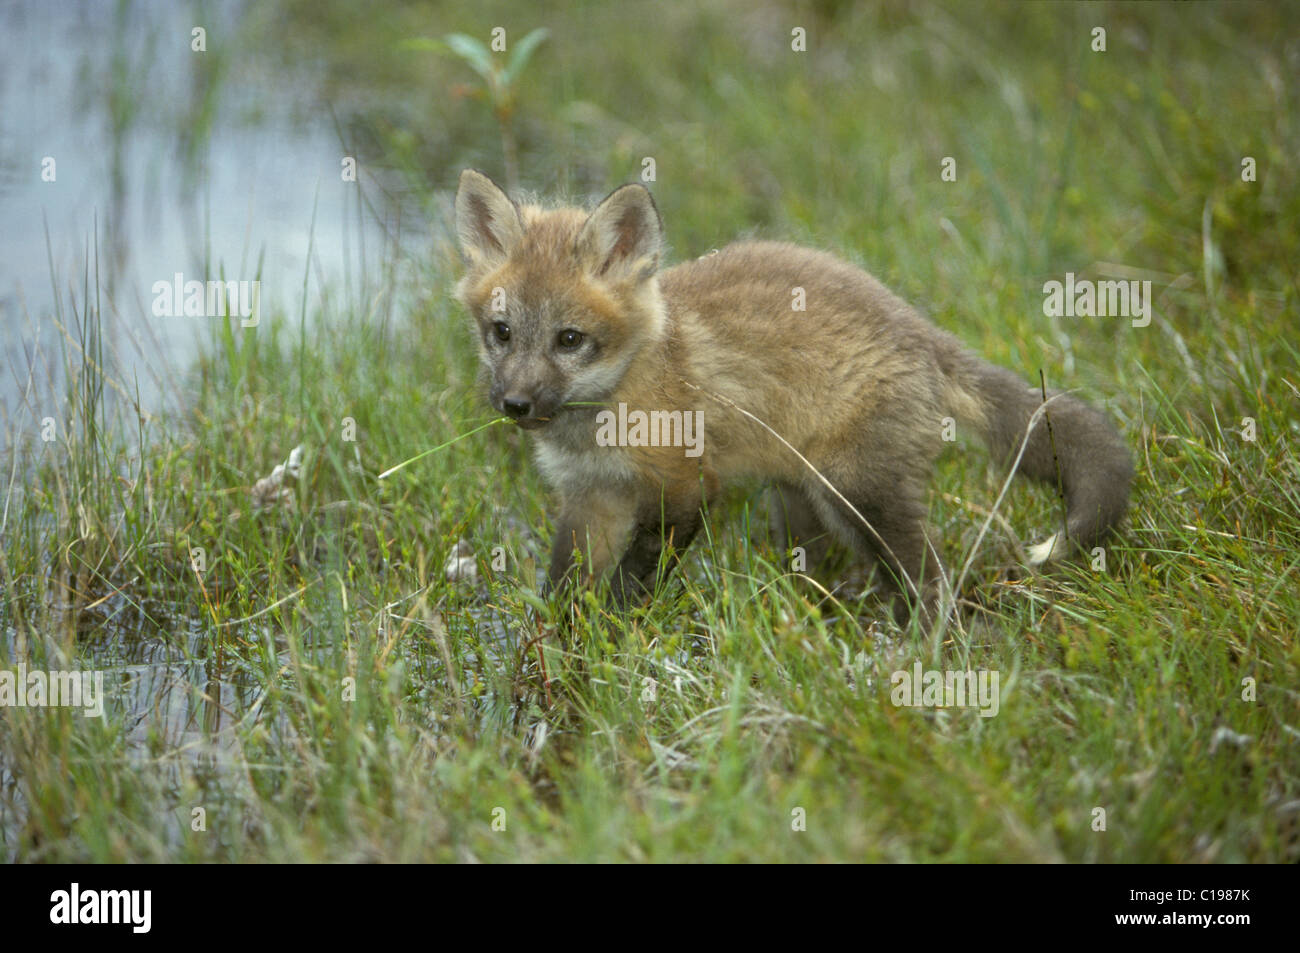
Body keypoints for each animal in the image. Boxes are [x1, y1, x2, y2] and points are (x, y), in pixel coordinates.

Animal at [452, 169, 1133, 625]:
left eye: (569, 340)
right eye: (502, 332)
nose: (514, 404)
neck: (610, 409)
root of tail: (921, 329)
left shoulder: (685, 489)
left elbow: (631, 581)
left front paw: (609, 628)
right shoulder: (589, 496)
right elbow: (564, 581)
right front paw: (556, 638)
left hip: (856, 491)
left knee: (930, 576)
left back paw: (918, 643)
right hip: (798, 496)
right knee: (826, 562)